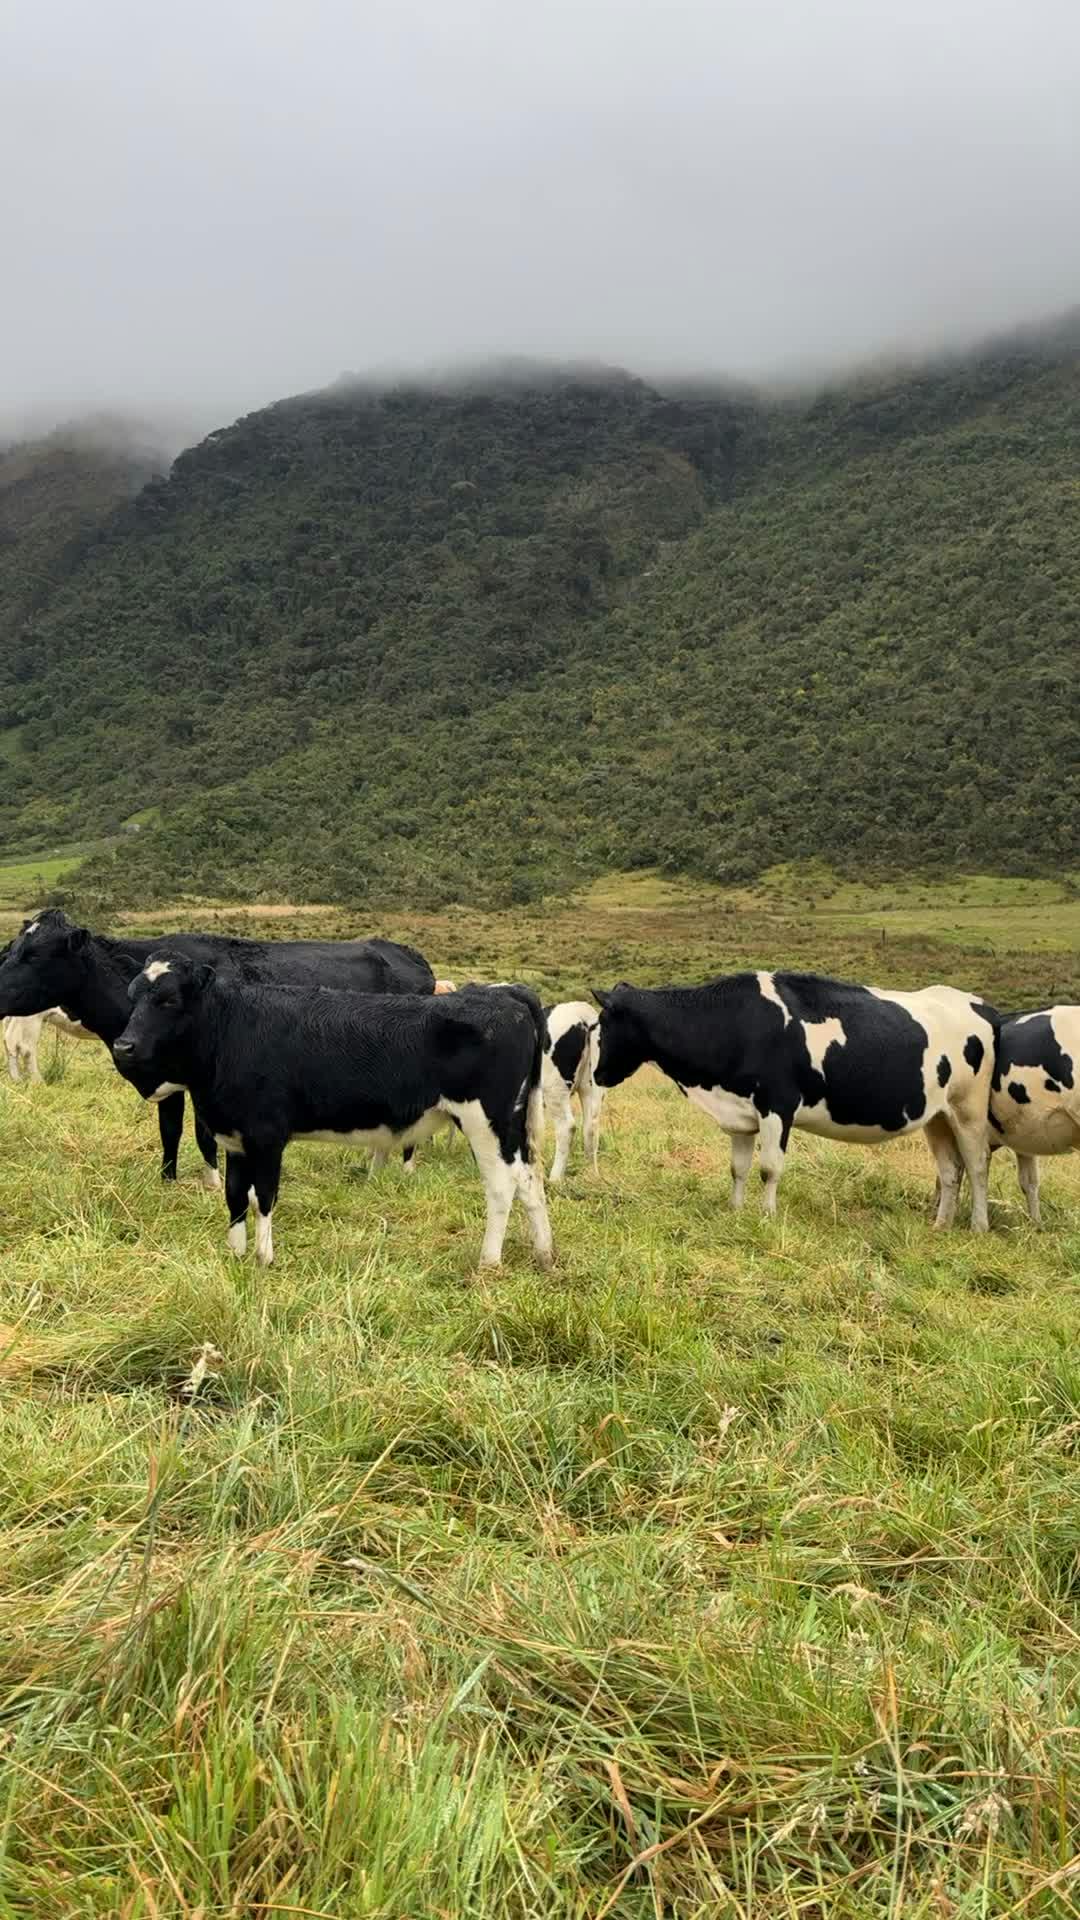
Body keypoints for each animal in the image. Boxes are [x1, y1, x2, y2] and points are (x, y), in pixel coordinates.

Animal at [0, 909, 436, 1187]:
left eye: (34, 954)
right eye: (11, 948)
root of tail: (409, 953)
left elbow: (203, 1134)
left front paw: (212, 1183)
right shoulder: (166, 1080)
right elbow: (169, 1131)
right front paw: (167, 1181)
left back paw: (406, 1172)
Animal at [110, 960, 554, 1271]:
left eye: (169, 1000)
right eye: (133, 997)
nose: (123, 1045)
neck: (231, 1028)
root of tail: (507, 995)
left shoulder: (266, 1136)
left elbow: (264, 1197)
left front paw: (264, 1258)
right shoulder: (235, 1138)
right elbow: (235, 1196)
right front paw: (235, 1254)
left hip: (486, 1122)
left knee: (502, 1187)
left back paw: (489, 1261)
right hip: (512, 1127)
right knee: (530, 1183)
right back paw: (545, 1256)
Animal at [544, 1001, 604, 1181]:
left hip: (554, 1088)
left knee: (567, 1127)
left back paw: (554, 1179)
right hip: (589, 1086)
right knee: (590, 1126)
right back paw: (591, 1174)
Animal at [591, 971, 998, 1230]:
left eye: (602, 1025)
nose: (597, 1074)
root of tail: (980, 1004)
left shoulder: (778, 1105)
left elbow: (769, 1168)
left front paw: (766, 1217)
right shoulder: (741, 1112)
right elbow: (738, 1168)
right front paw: (735, 1211)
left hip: (970, 1110)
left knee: (977, 1165)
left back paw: (978, 1226)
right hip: (938, 1116)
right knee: (951, 1170)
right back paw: (941, 1225)